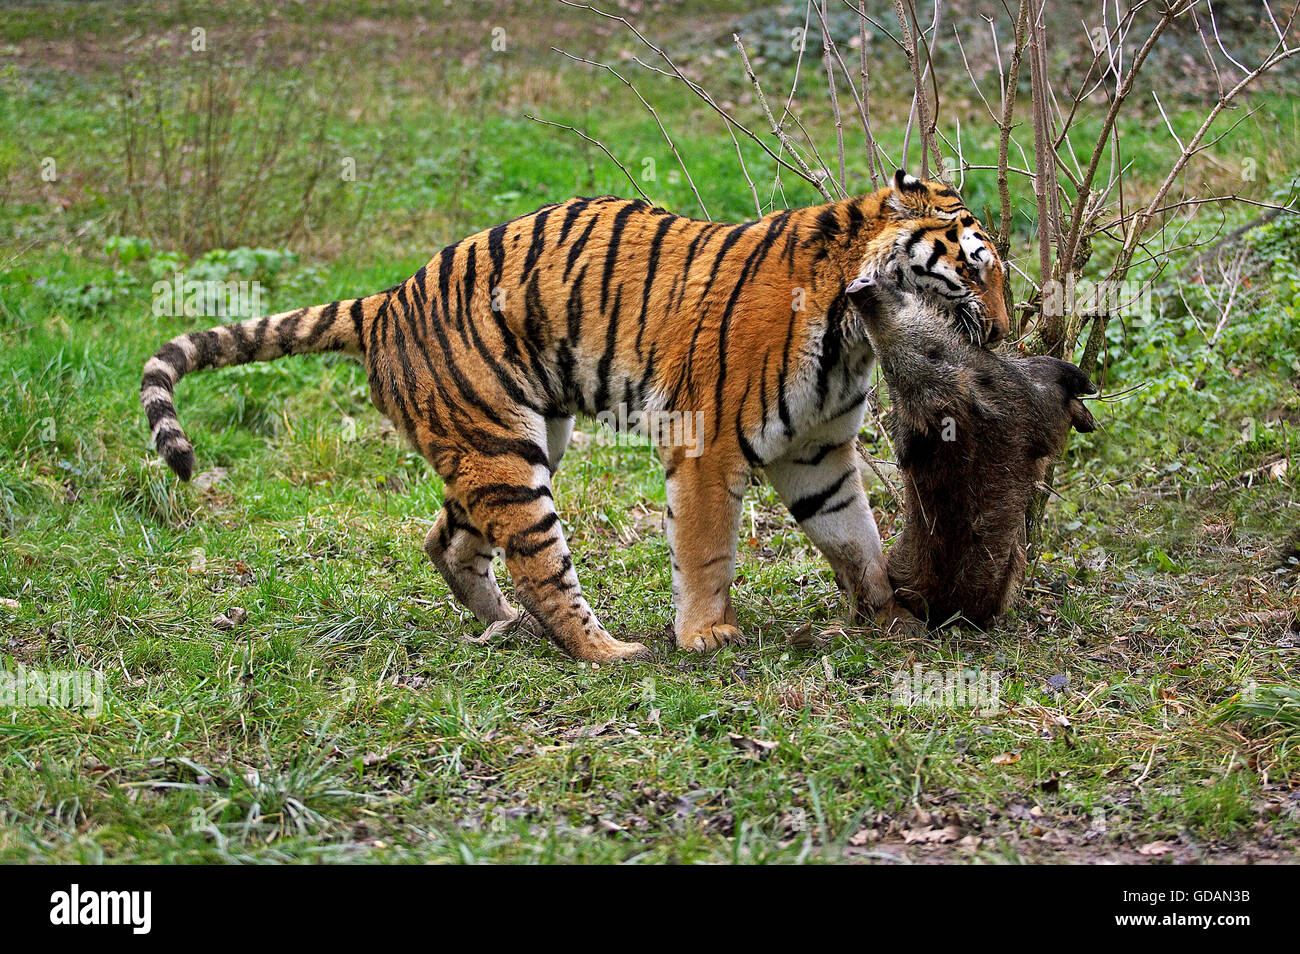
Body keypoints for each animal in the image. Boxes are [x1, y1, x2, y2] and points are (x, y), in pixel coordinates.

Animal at [141, 170, 1010, 663]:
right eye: (974, 269)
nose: (1004, 332)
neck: (856, 327)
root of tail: (387, 298)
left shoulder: (819, 454)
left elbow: (855, 540)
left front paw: (891, 617)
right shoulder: (708, 446)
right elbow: (706, 551)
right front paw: (707, 634)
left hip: (507, 443)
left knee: (446, 539)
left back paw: (503, 626)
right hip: (506, 455)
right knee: (540, 566)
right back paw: (609, 651)